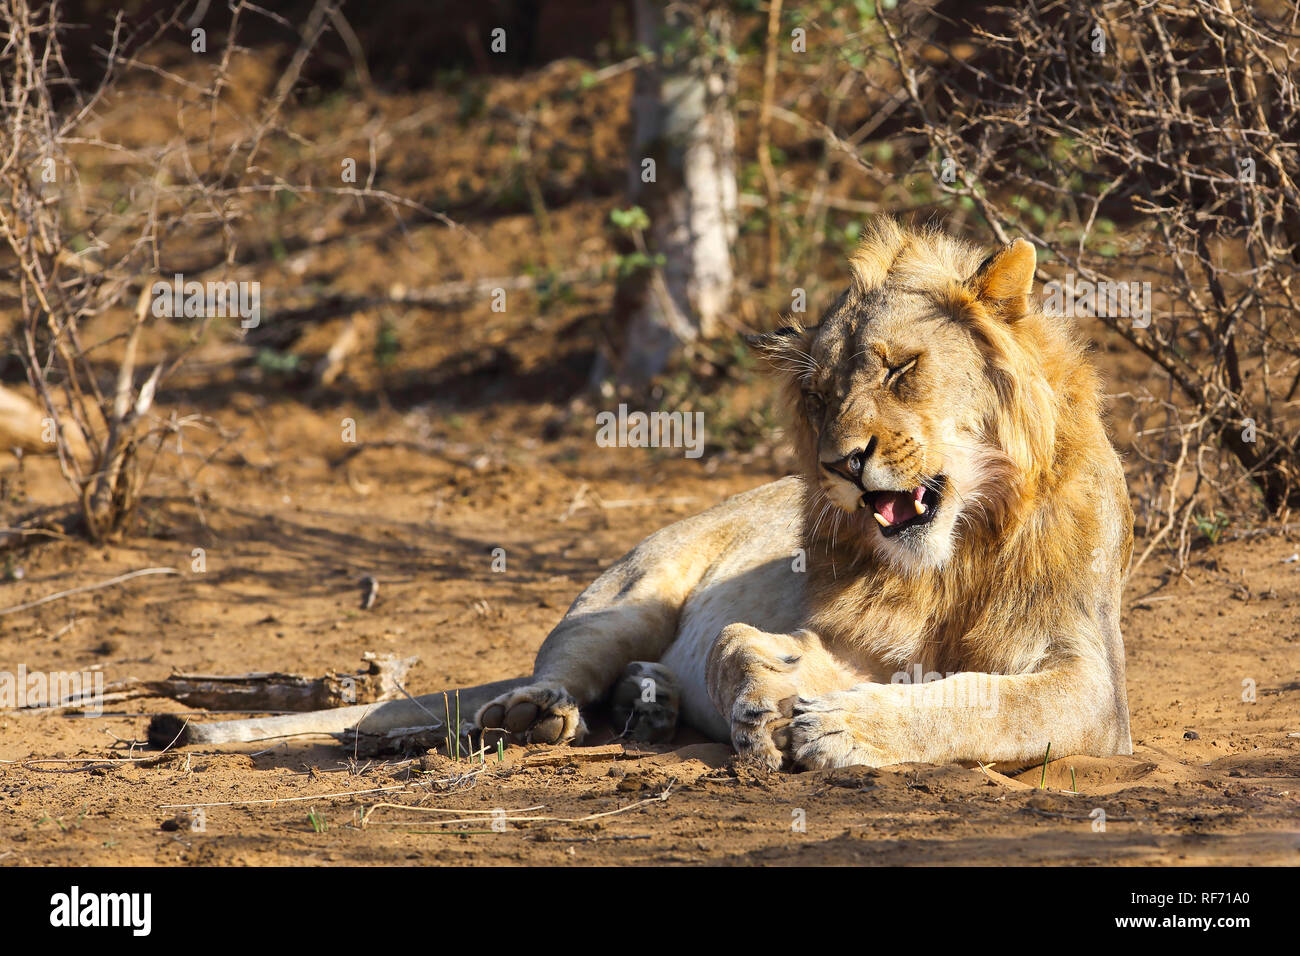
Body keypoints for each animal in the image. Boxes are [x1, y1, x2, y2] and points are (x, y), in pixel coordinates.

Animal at [160, 220, 1134, 770]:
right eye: (821, 395)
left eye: (902, 370)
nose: (842, 463)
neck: (952, 557)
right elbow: (753, 648)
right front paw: (773, 698)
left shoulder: (1094, 684)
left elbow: (992, 698)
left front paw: (838, 728)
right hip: (625, 593)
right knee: (553, 677)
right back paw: (541, 714)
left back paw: (649, 705)